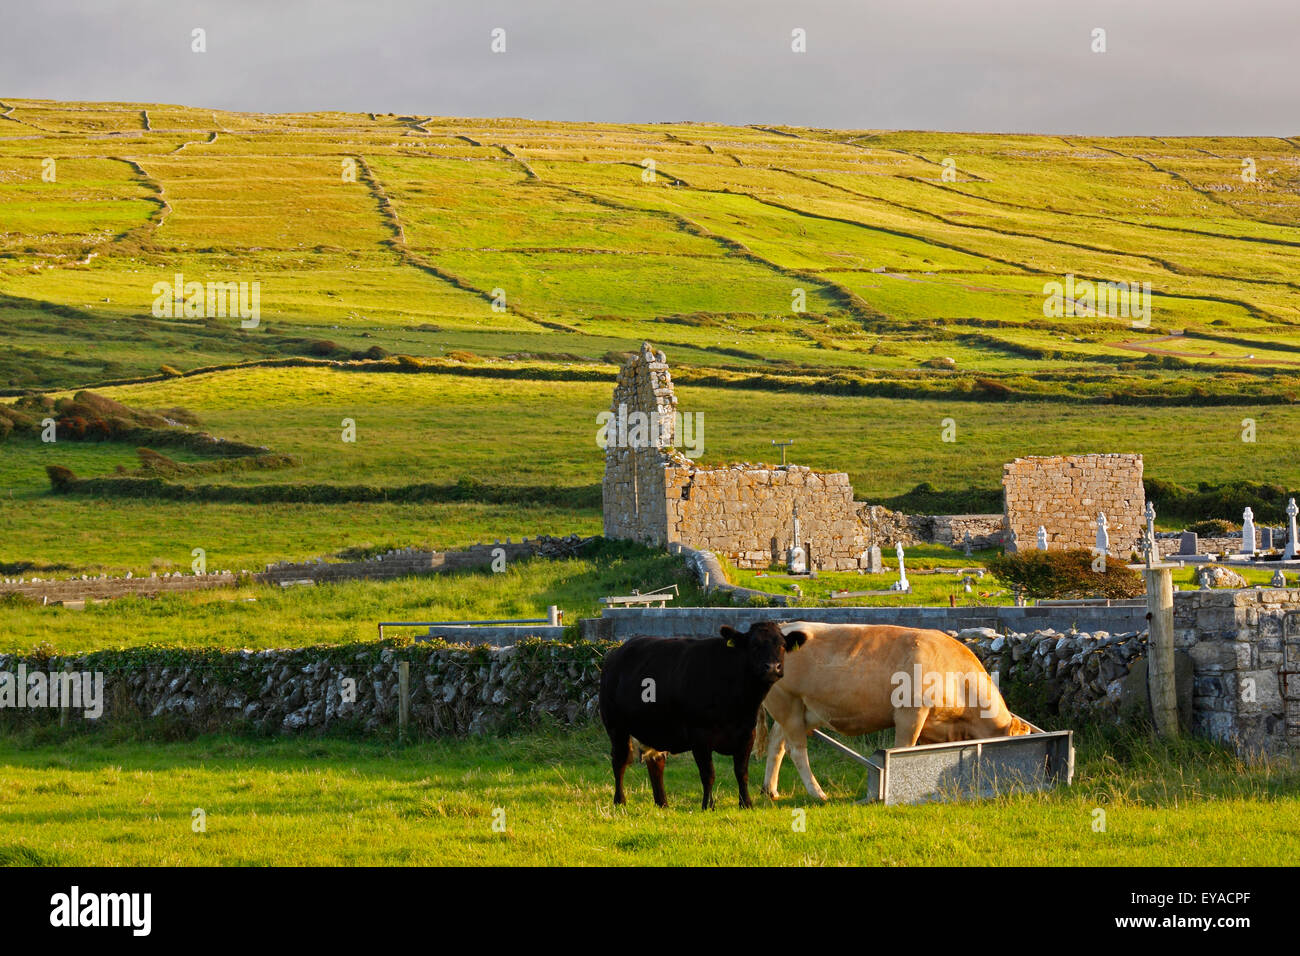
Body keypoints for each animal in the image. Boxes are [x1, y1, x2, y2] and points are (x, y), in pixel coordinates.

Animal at [599, 622, 807, 809]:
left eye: (782, 645)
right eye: (754, 645)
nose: (772, 667)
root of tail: (616, 652)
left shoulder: (747, 734)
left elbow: (741, 772)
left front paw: (746, 803)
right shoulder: (699, 736)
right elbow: (708, 774)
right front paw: (708, 805)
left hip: (655, 727)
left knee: (656, 763)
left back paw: (662, 803)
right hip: (616, 726)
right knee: (619, 760)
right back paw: (620, 801)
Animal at [761, 621, 1033, 802]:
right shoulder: (910, 712)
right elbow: (905, 748)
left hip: (801, 710)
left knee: (777, 743)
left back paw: (770, 790)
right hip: (788, 704)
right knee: (797, 749)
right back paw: (818, 793)